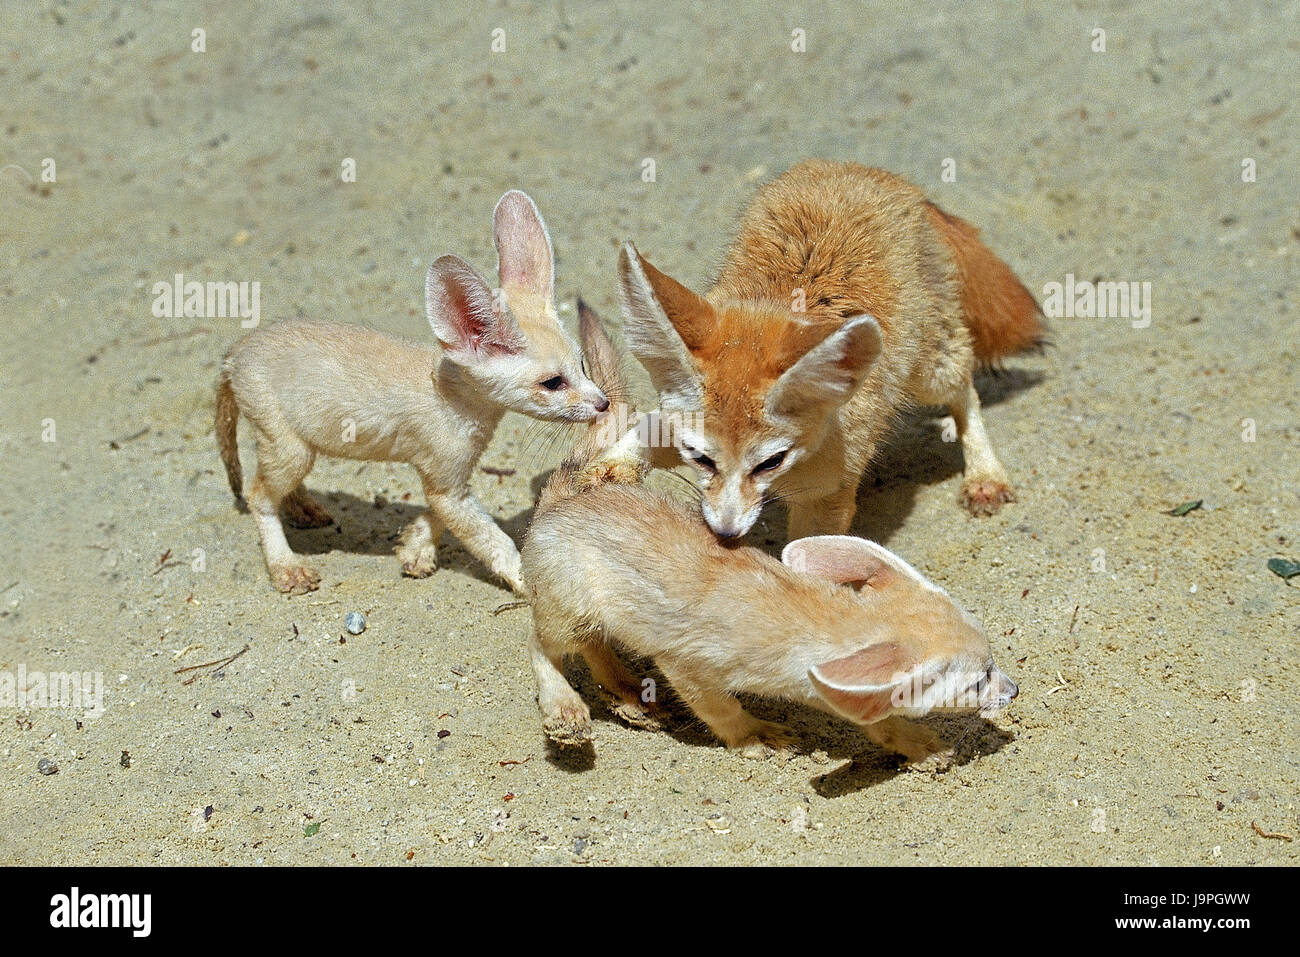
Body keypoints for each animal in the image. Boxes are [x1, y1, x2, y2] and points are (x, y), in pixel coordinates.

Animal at [216, 190, 609, 595]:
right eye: (553, 383)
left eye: (582, 365)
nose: (603, 404)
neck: (452, 396)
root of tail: (238, 350)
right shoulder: (448, 480)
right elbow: (488, 537)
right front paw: (527, 580)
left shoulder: (446, 479)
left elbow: (438, 515)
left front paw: (416, 548)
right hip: (290, 448)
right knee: (257, 495)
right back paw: (284, 565)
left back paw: (301, 509)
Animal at [519, 303, 1018, 761]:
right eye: (978, 680)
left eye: (992, 656)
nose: (1014, 690)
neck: (816, 619)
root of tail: (563, 495)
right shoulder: (686, 664)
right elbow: (720, 709)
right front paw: (754, 735)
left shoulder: (838, 691)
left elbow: (877, 719)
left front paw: (917, 744)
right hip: (570, 609)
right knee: (543, 644)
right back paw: (567, 708)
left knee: (593, 648)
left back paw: (627, 694)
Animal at [617, 159, 1044, 541]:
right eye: (700, 457)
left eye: (771, 461)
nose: (725, 534)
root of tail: (872, 174)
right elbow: (642, 428)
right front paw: (614, 466)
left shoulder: (827, 494)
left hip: (930, 374)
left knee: (966, 389)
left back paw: (985, 472)